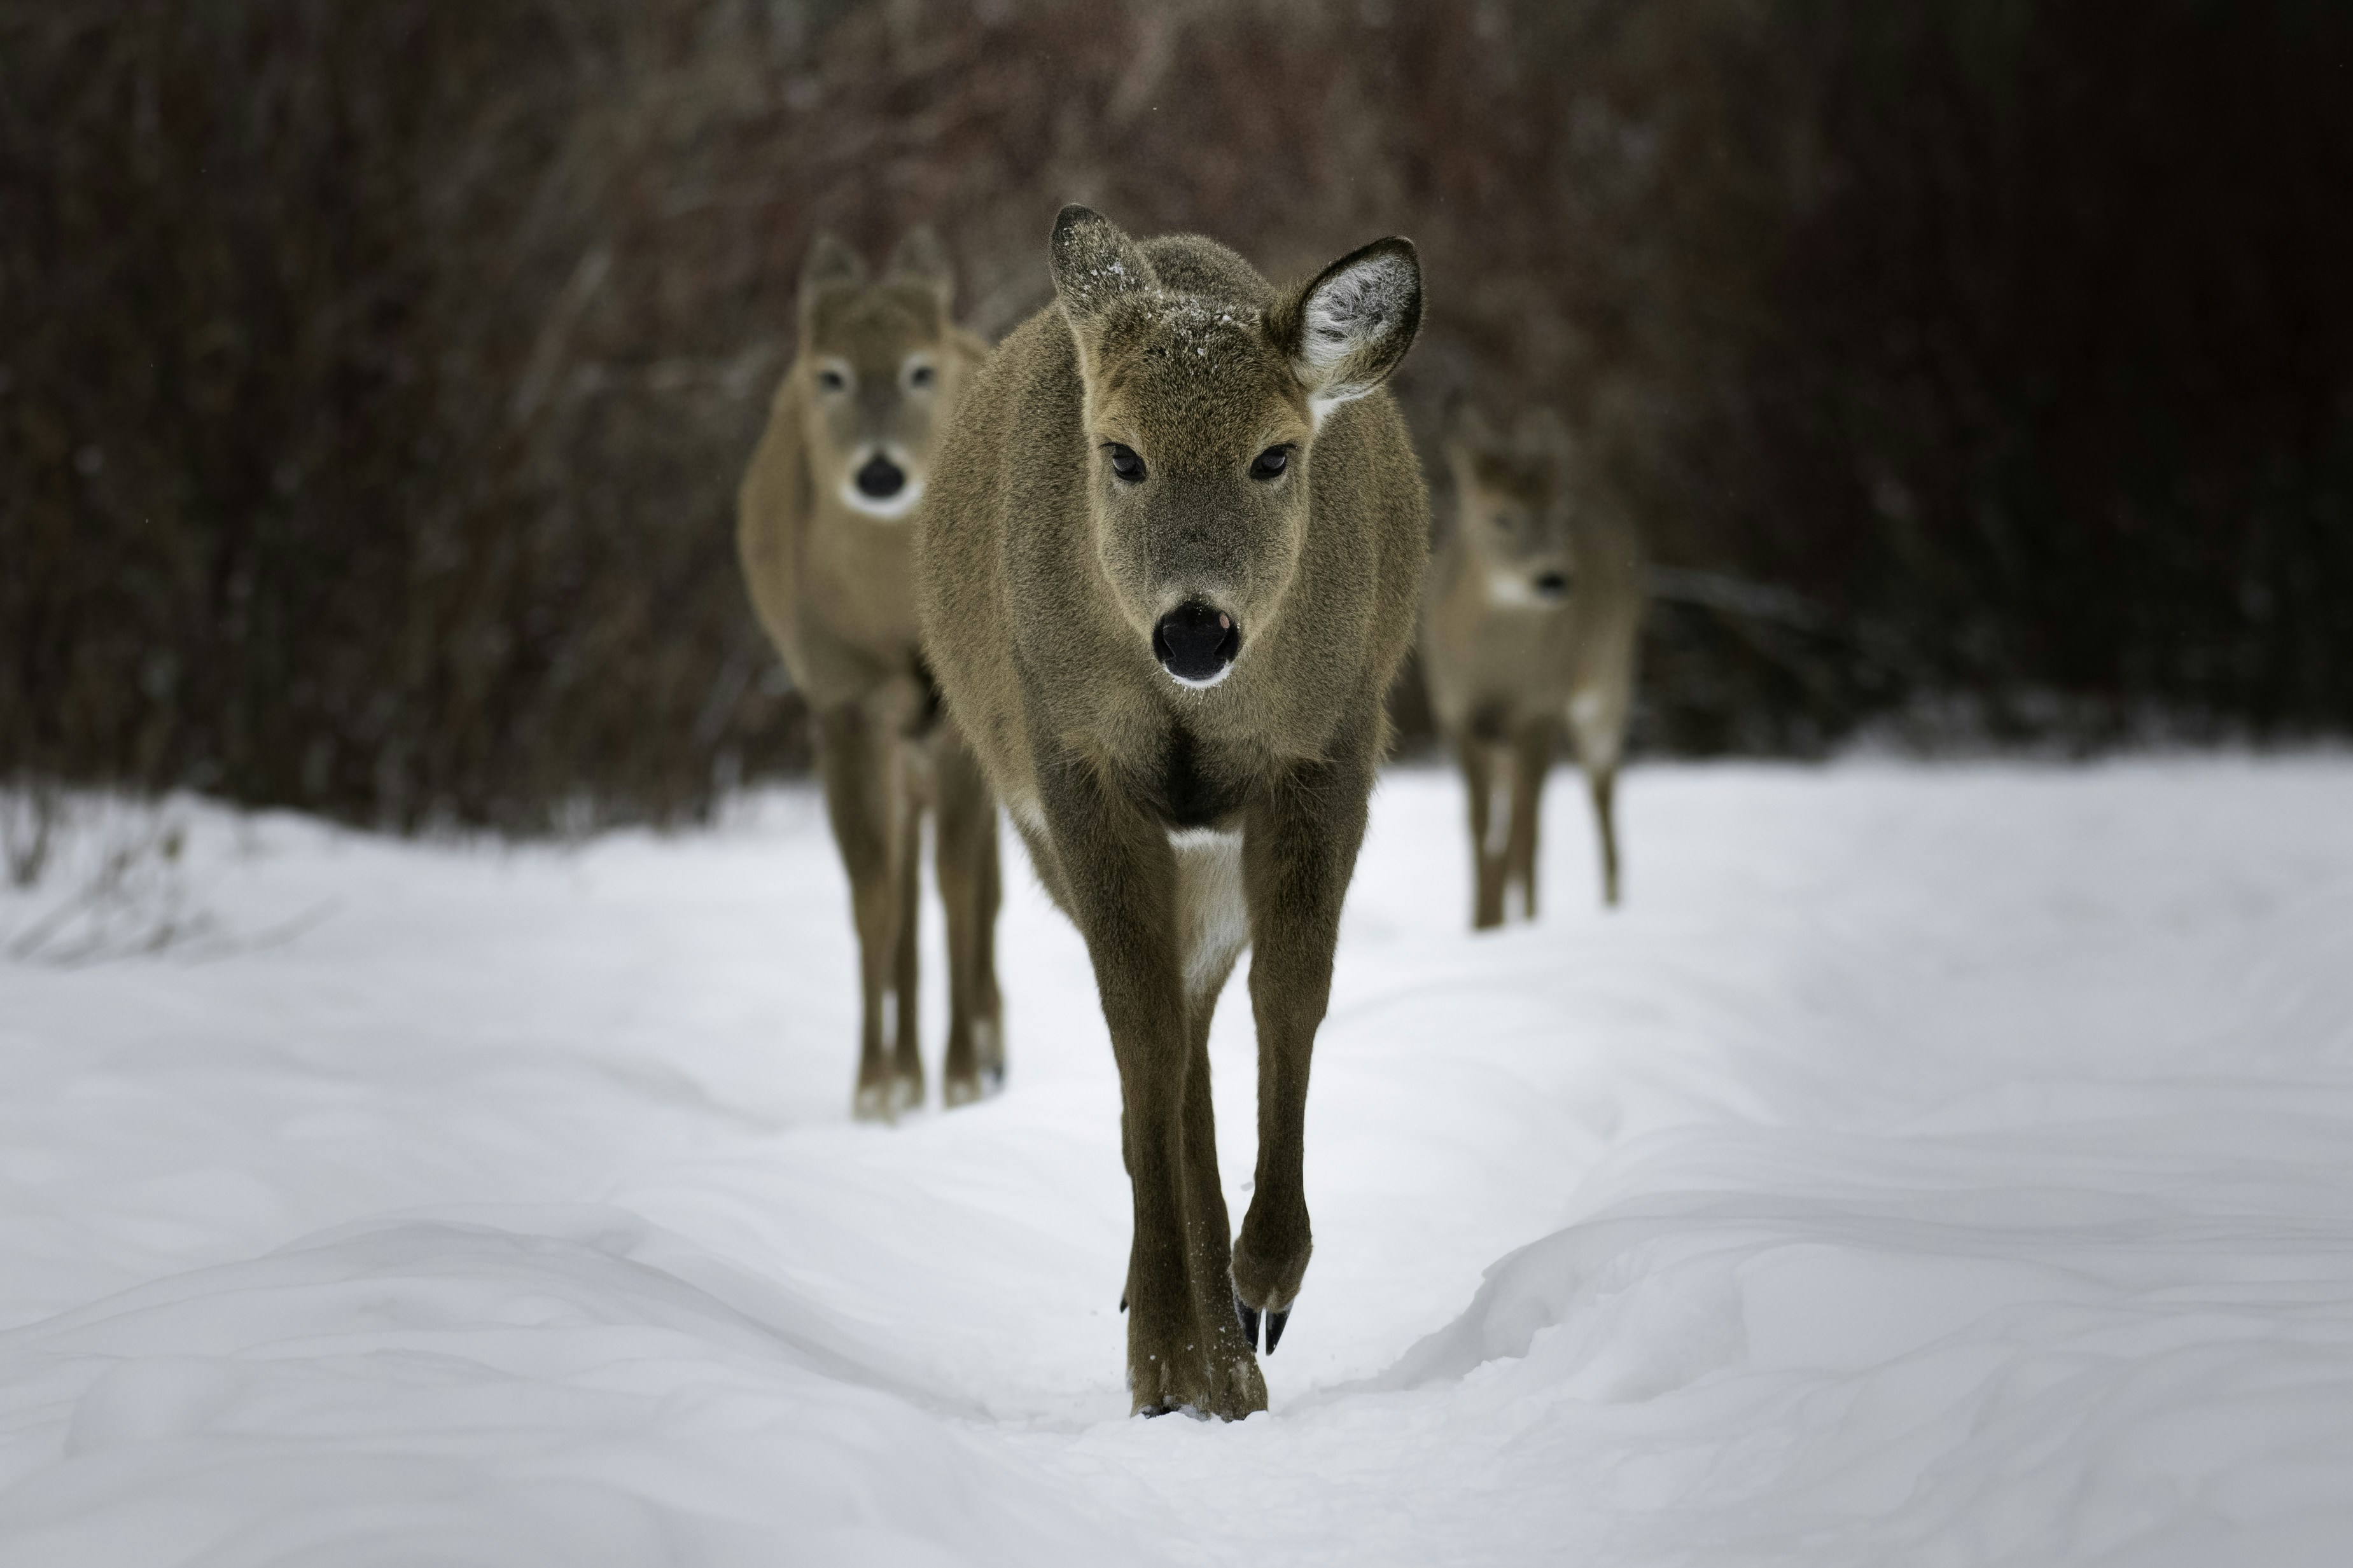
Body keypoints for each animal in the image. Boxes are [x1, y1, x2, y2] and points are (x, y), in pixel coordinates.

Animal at [737, 228, 1004, 1121]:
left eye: (920, 369)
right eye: (832, 375)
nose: (880, 473)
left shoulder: (960, 717)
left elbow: (960, 885)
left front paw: (963, 1076)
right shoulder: (842, 701)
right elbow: (874, 895)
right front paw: (876, 1086)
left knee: (979, 885)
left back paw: (986, 1043)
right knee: (904, 891)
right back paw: (909, 1068)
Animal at [916, 206, 1427, 1419]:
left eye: (1274, 455)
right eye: (1122, 454)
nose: (1195, 629)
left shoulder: (1329, 744)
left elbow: (1291, 995)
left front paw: (1268, 1275)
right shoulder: (1073, 761)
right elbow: (1137, 1027)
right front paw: (1157, 1354)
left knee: (1202, 1016)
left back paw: (1235, 1348)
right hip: (1048, 830)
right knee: (1167, 1037)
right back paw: (1206, 1360)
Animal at [1419, 405, 1644, 926]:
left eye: (1557, 514)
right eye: (1501, 515)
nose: (1553, 578)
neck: (1496, 672)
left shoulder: (1538, 709)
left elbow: (1527, 827)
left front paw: (1516, 922)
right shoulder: (1456, 715)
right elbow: (1479, 824)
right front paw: (1480, 922)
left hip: (1607, 683)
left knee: (1600, 791)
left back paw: (1607, 904)